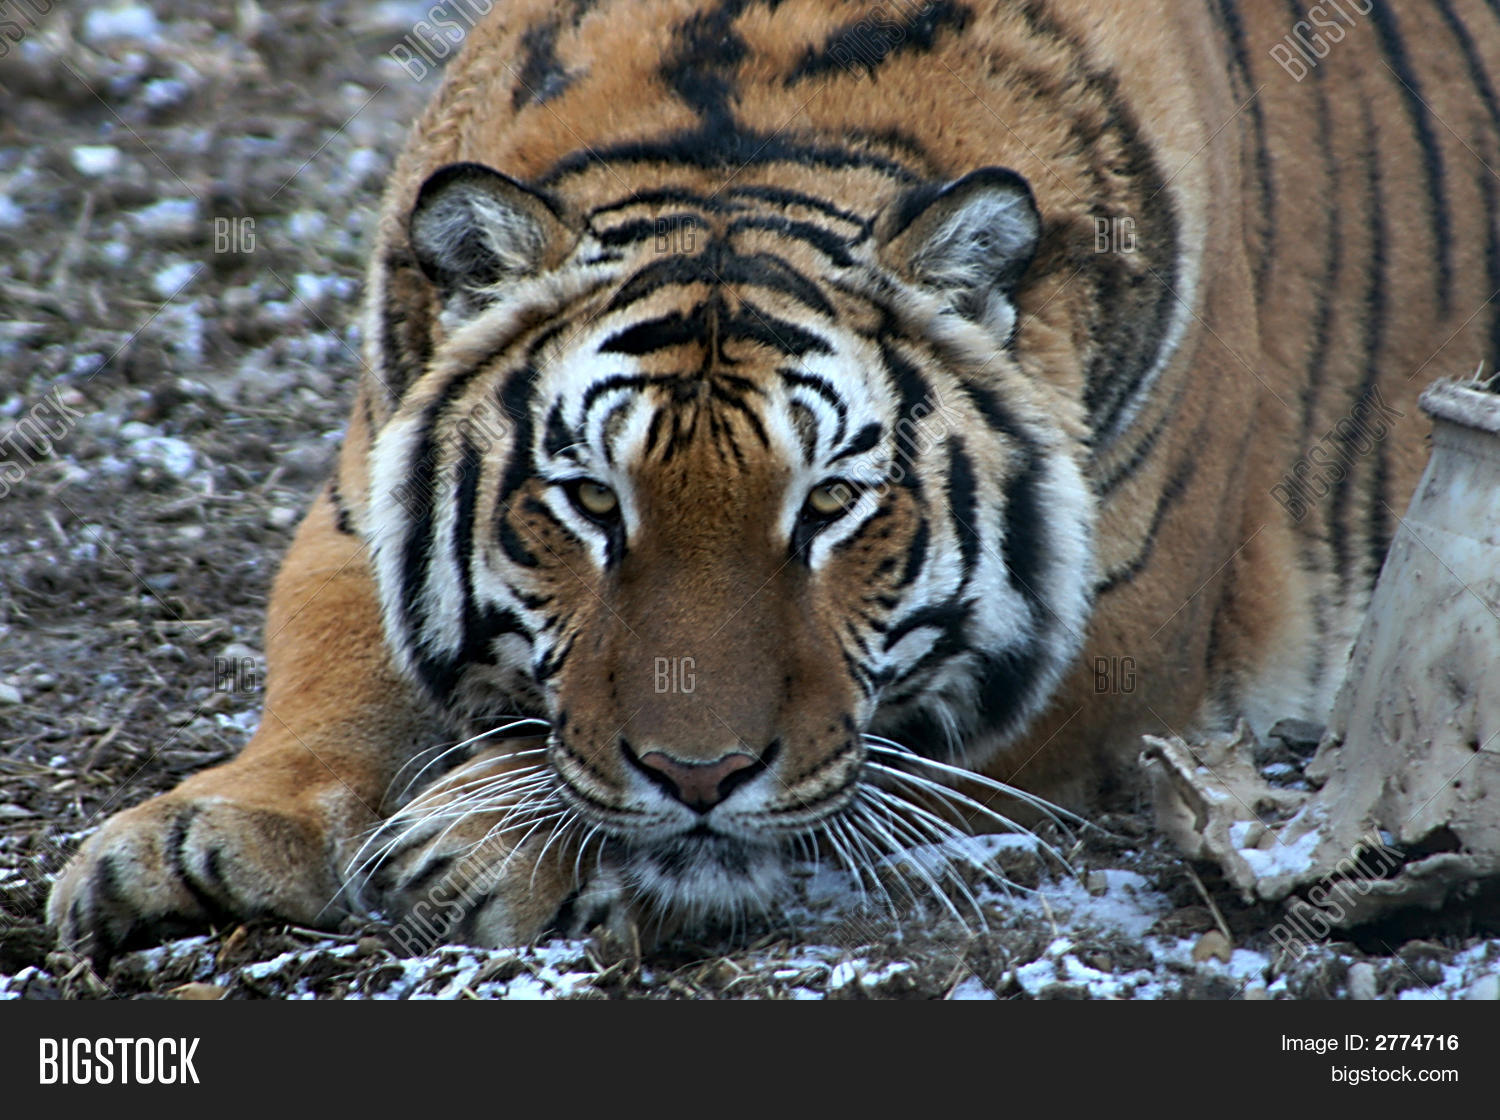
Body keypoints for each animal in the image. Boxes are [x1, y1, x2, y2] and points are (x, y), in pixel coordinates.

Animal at [48, 0, 1500, 956]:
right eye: (590, 503)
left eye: (832, 508)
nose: (699, 777)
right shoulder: (359, 489)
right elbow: (332, 661)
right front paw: (200, 832)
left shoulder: (1120, 644)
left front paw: (478, 835)